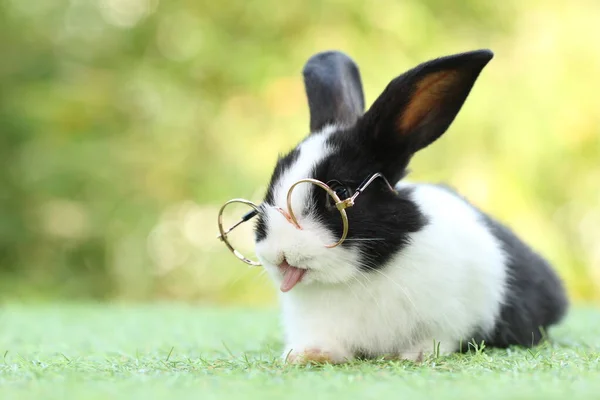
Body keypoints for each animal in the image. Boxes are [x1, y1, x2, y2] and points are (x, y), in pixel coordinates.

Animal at [251, 48, 568, 364]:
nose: (278, 253)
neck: (360, 275)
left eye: (340, 191)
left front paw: (415, 355)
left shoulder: (450, 320)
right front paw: (308, 355)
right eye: (272, 186)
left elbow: (438, 340)